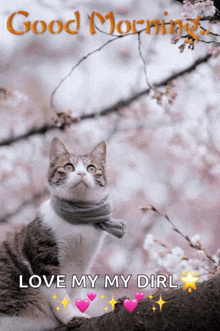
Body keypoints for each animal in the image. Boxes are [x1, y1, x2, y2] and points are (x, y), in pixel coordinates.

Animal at [0, 138, 125, 331]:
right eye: (68, 167)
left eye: (91, 168)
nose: (81, 173)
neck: (79, 223)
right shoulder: (45, 259)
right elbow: (59, 295)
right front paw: (72, 316)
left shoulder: (83, 262)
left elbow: (74, 292)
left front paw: (77, 309)